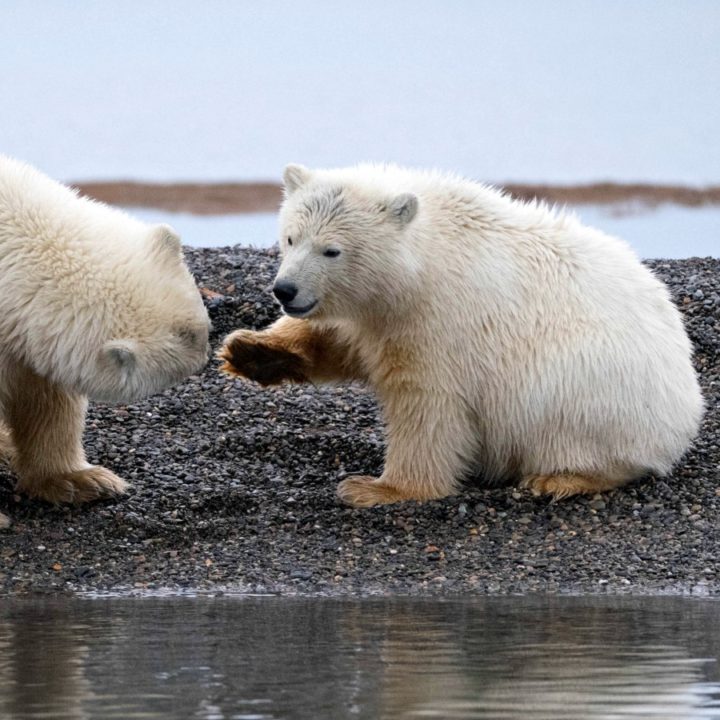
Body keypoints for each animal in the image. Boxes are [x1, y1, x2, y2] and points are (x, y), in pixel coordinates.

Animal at [0, 155, 210, 524]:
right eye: (176, 366)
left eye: (200, 331)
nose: (208, 354)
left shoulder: (21, 345)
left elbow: (47, 403)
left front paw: (81, 481)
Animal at [219, 163, 704, 508]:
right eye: (289, 238)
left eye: (331, 250)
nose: (285, 289)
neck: (422, 258)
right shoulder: (377, 313)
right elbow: (340, 341)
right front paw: (250, 351)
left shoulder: (440, 318)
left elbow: (428, 402)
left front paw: (377, 488)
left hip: (589, 385)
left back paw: (560, 477)